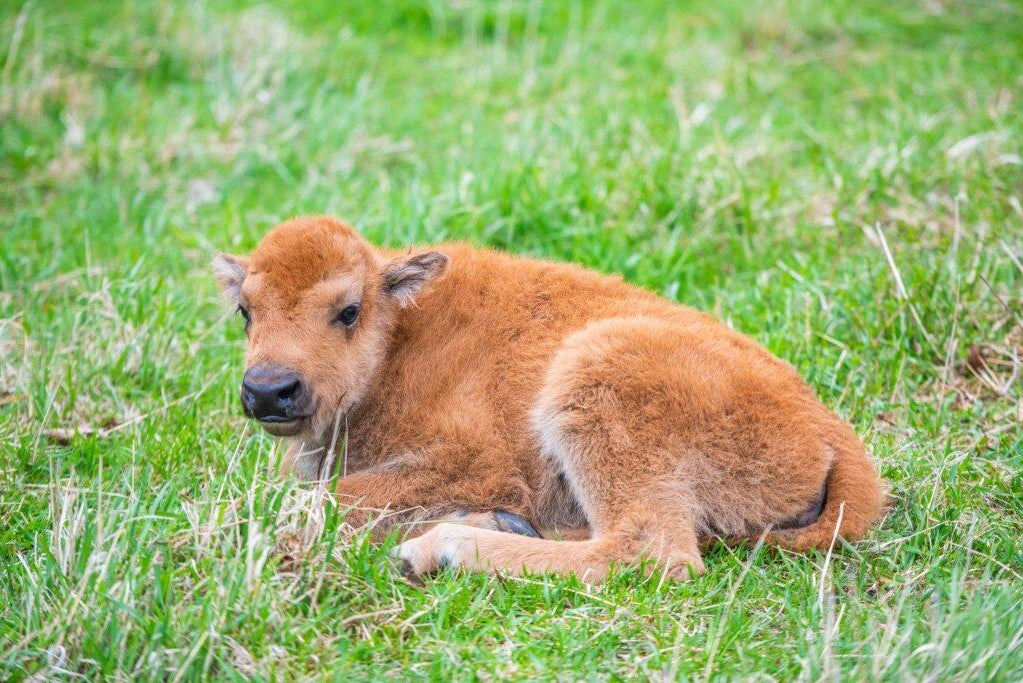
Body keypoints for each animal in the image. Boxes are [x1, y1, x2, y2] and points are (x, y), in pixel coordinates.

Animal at [213, 216, 885, 581]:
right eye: (246, 311)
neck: (401, 335)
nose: (269, 389)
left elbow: (314, 500)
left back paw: (436, 549)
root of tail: (828, 428)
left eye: (348, 311)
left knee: (647, 550)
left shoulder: (472, 462)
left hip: (595, 378)